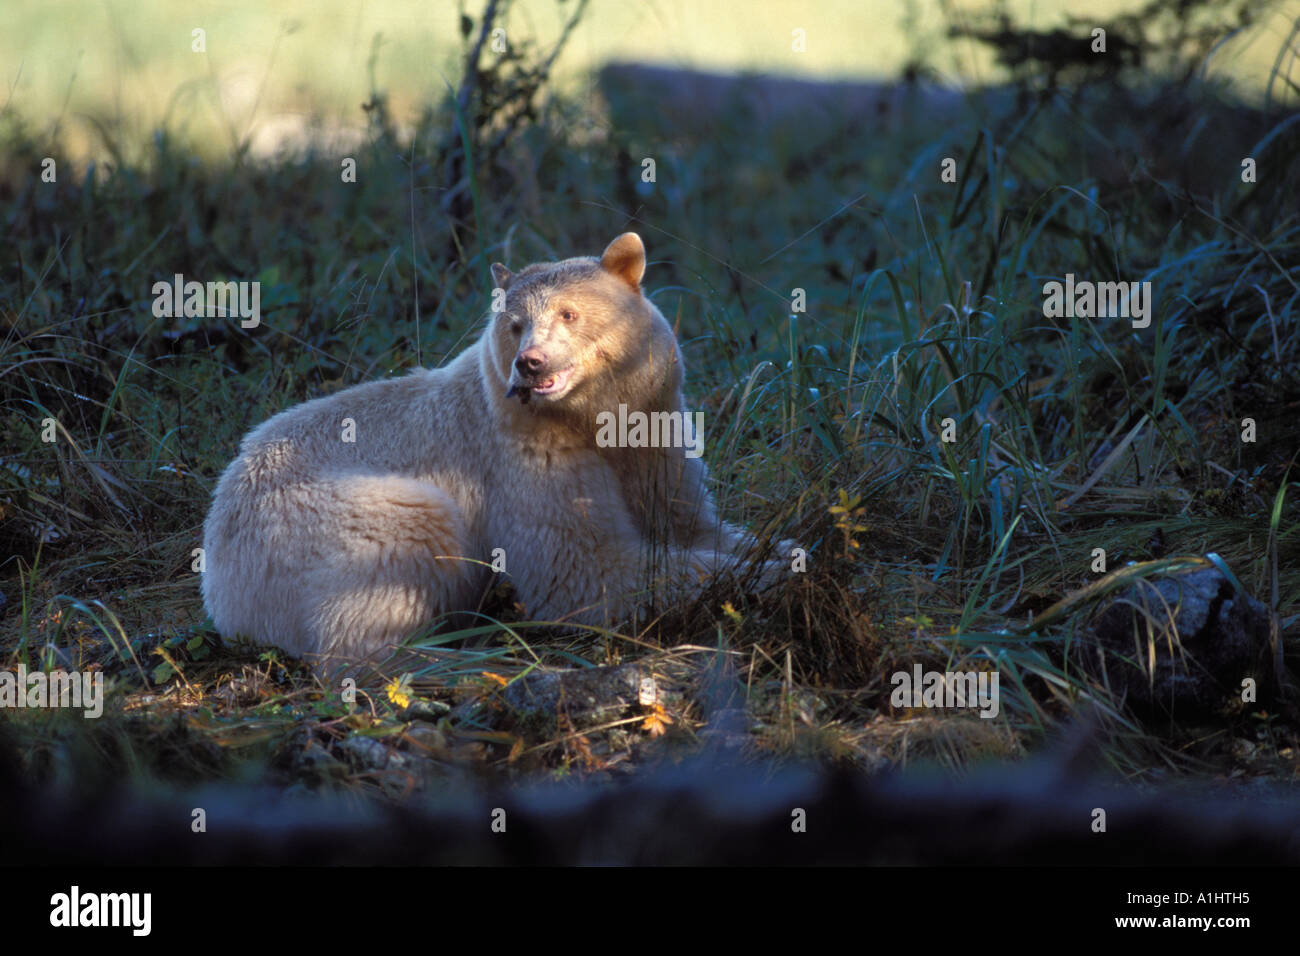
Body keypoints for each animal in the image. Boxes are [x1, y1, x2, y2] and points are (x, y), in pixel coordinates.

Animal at [201, 233, 786, 673]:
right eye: (515, 325)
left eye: (568, 314)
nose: (530, 362)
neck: (587, 418)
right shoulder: (527, 456)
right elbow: (584, 566)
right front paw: (755, 578)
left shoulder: (654, 435)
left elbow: (689, 520)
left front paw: (778, 552)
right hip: (318, 520)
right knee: (391, 561)